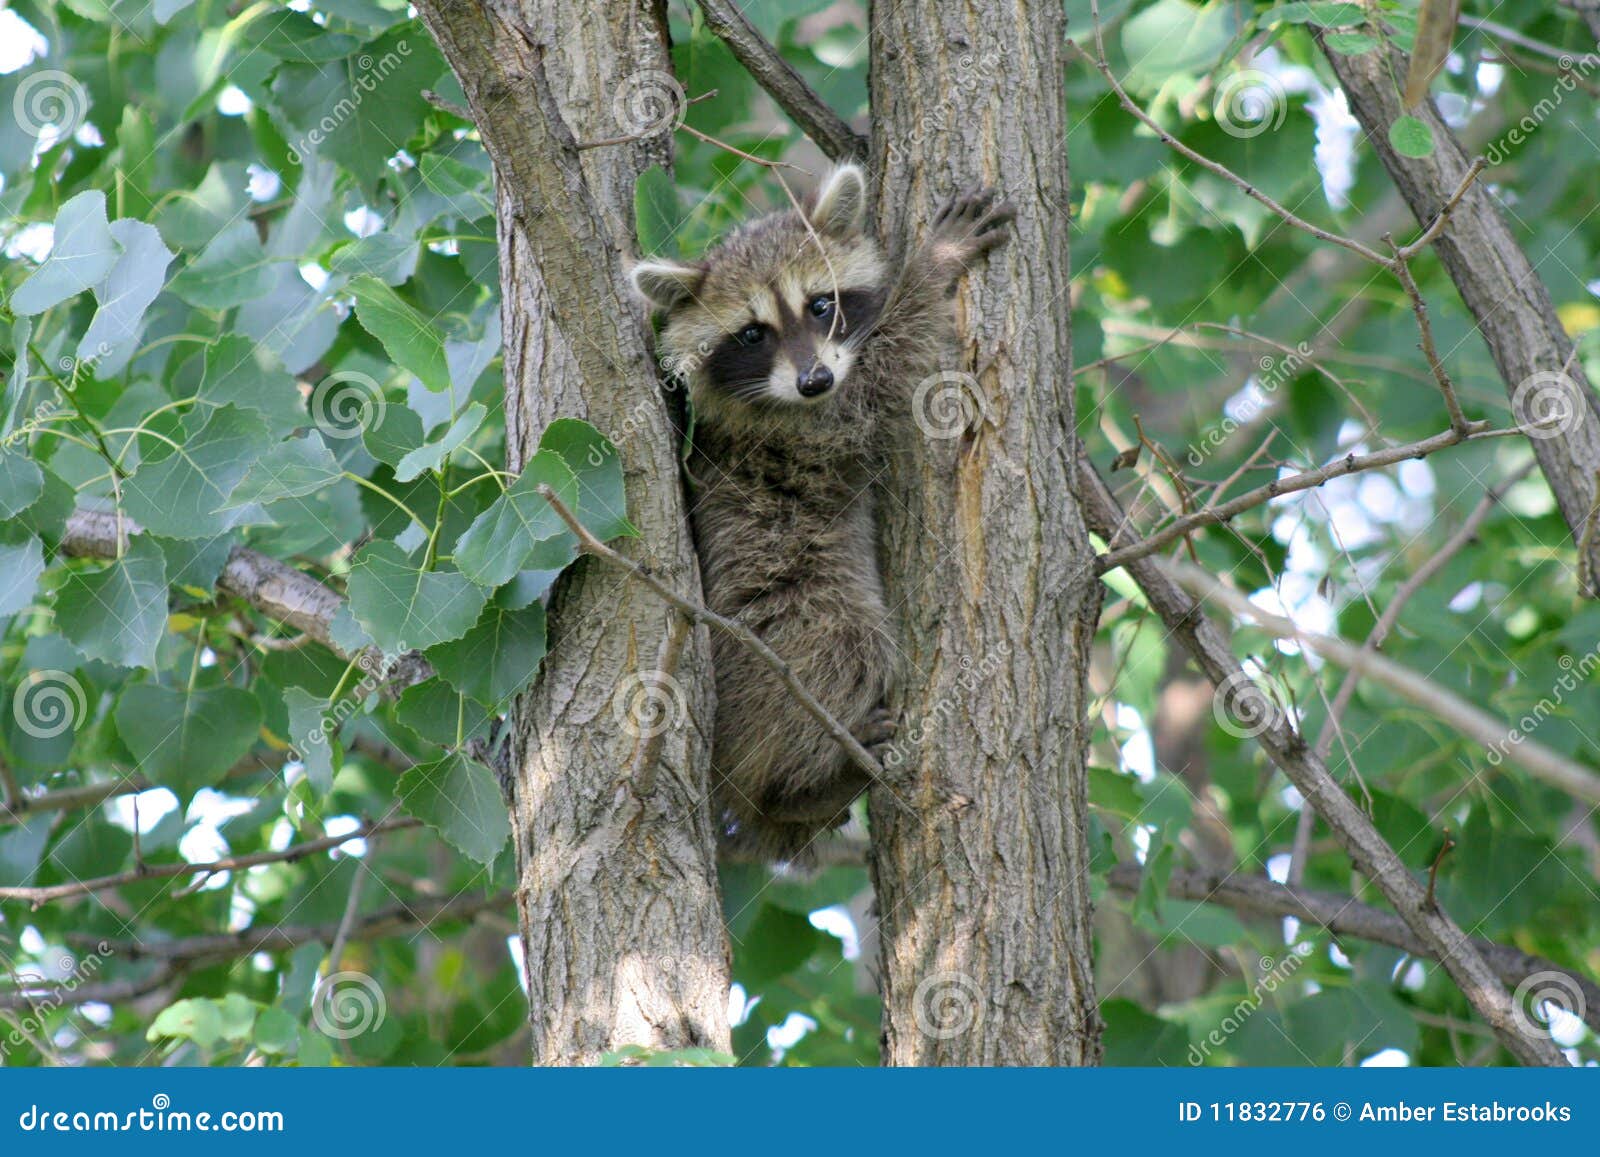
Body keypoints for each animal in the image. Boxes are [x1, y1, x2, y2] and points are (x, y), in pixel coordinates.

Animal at [630, 164, 1013, 861]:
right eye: (752, 333)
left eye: (820, 304)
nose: (813, 380)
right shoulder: (800, 428)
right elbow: (882, 376)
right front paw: (931, 267)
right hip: (774, 631)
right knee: (842, 647)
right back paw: (795, 790)